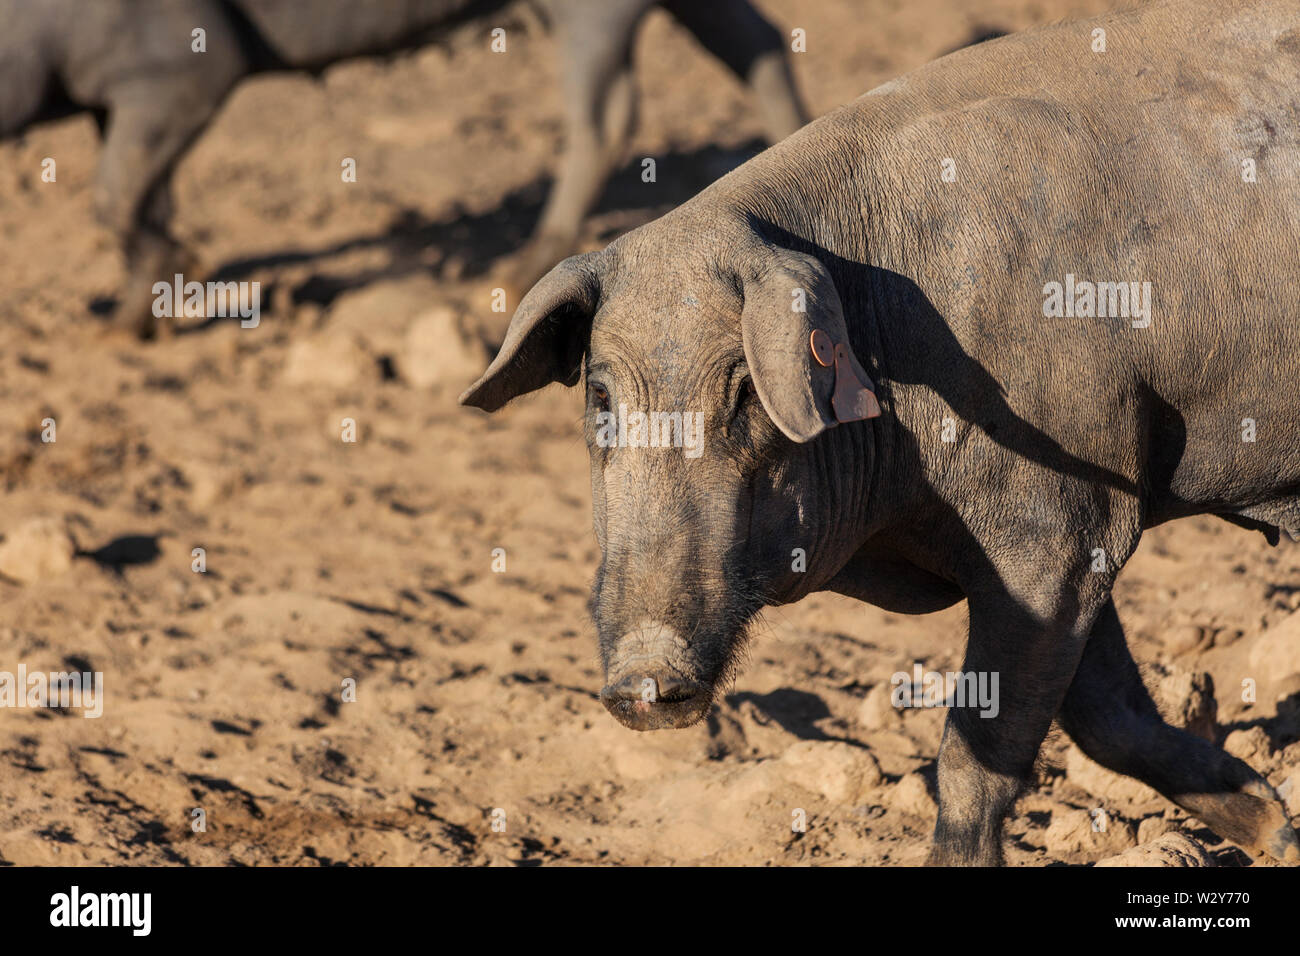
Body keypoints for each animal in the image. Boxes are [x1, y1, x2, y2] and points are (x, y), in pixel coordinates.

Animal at [0, 0, 806, 338]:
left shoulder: (182, 74)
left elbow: (115, 196)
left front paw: (124, 327)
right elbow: (146, 192)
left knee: (606, 117)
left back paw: (522, 268)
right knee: (759, 41)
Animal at [462, 0, 1300, 865]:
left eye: (747, 395)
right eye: (600, 398)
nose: (643, 678)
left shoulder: (1061, 534)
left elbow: (978, 753)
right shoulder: (1081, 531)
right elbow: (1106, 716)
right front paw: (1275, 830)